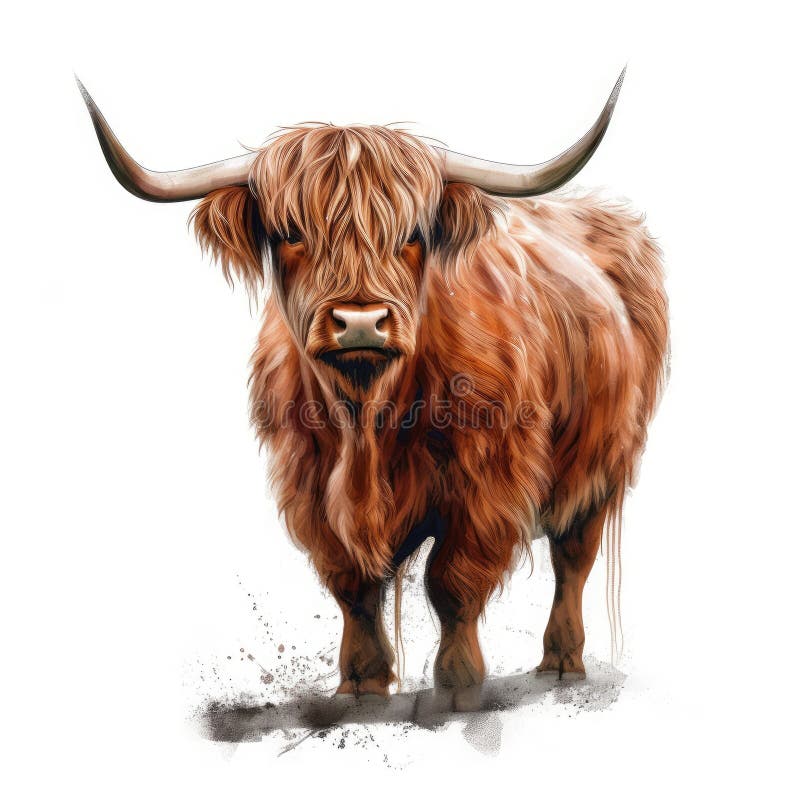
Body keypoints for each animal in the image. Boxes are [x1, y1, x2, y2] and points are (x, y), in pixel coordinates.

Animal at [77, 70, 668, 703]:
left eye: (412, 233)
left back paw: (561, 663)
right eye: (290, 233)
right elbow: (353, 587)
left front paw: (459, 684)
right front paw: (361, 682)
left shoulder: (487, 484)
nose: (360, 321)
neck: (370, 420)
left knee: (572, 557)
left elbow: (452, 583)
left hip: (604, 460)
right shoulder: (310, 483)